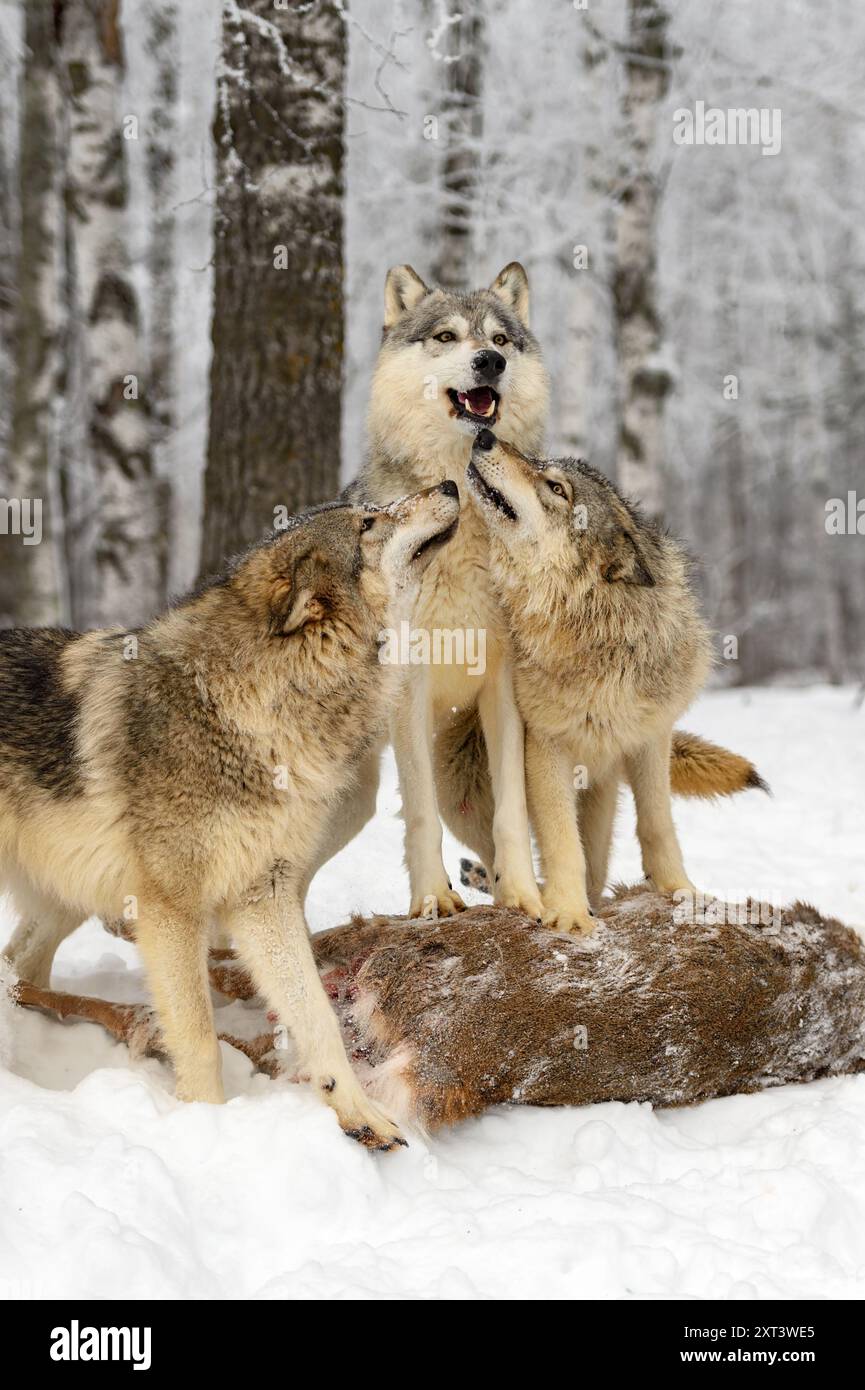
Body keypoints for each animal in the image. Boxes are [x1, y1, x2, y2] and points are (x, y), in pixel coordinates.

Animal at [0, 484, 460, 1146]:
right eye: (370, 523)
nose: (450, 485)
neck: (257, 707)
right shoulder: (171, 912)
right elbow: (197, 1037)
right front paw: (207, 1129)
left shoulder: (263, 895)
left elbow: (316, 1015)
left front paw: (357, 1110)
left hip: (65, 897)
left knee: (21, 967)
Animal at [449, 427, 766, 934]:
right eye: (541, 464)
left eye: (555, 487)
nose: (484, 434)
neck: (595, 631)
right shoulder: (546, 745)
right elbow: (561, 841)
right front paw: (568, 913)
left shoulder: (650, 737)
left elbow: (657, 825)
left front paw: (681, 891)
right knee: (502, 847)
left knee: (595, 862)